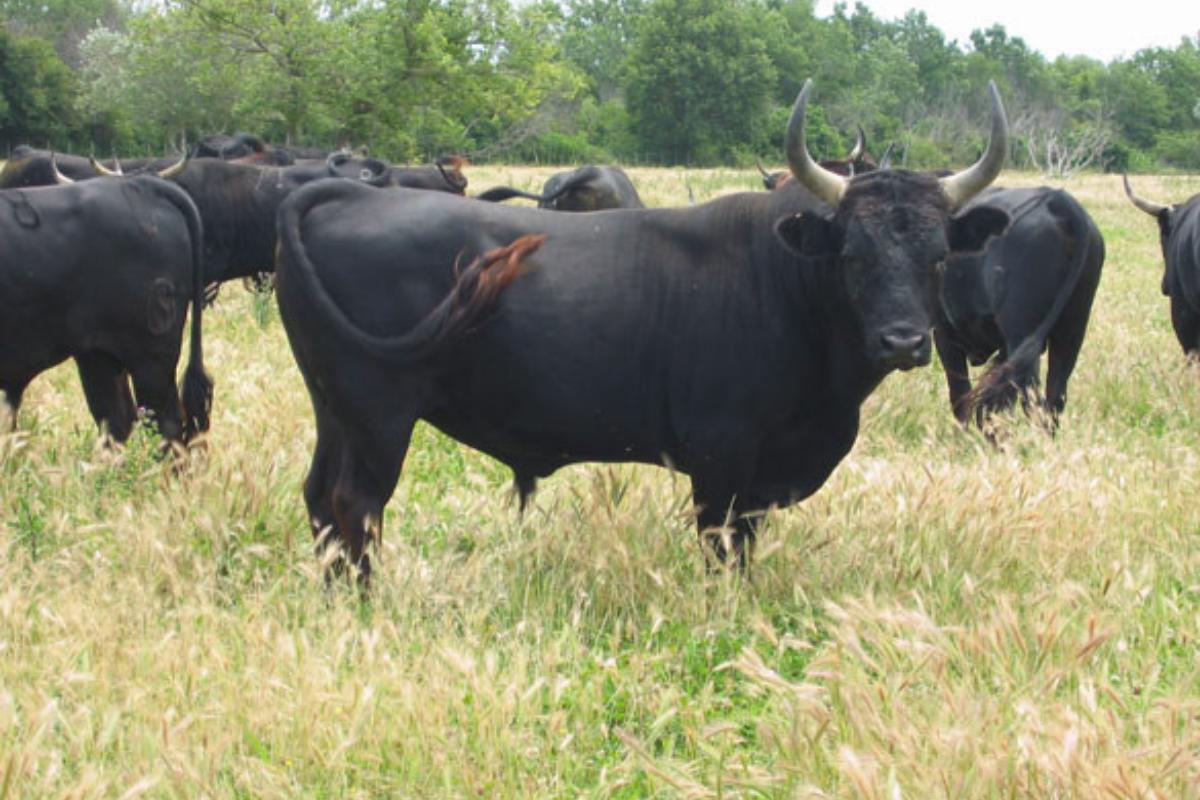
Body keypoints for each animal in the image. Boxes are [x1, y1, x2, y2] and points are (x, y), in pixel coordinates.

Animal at [932, 186, 1105, 427]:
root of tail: (1057, 199)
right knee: (1053, 400)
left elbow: (961, 398)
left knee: (1032, 403)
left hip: (1022, 337)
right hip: (1071, 331)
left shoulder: (944, 336)